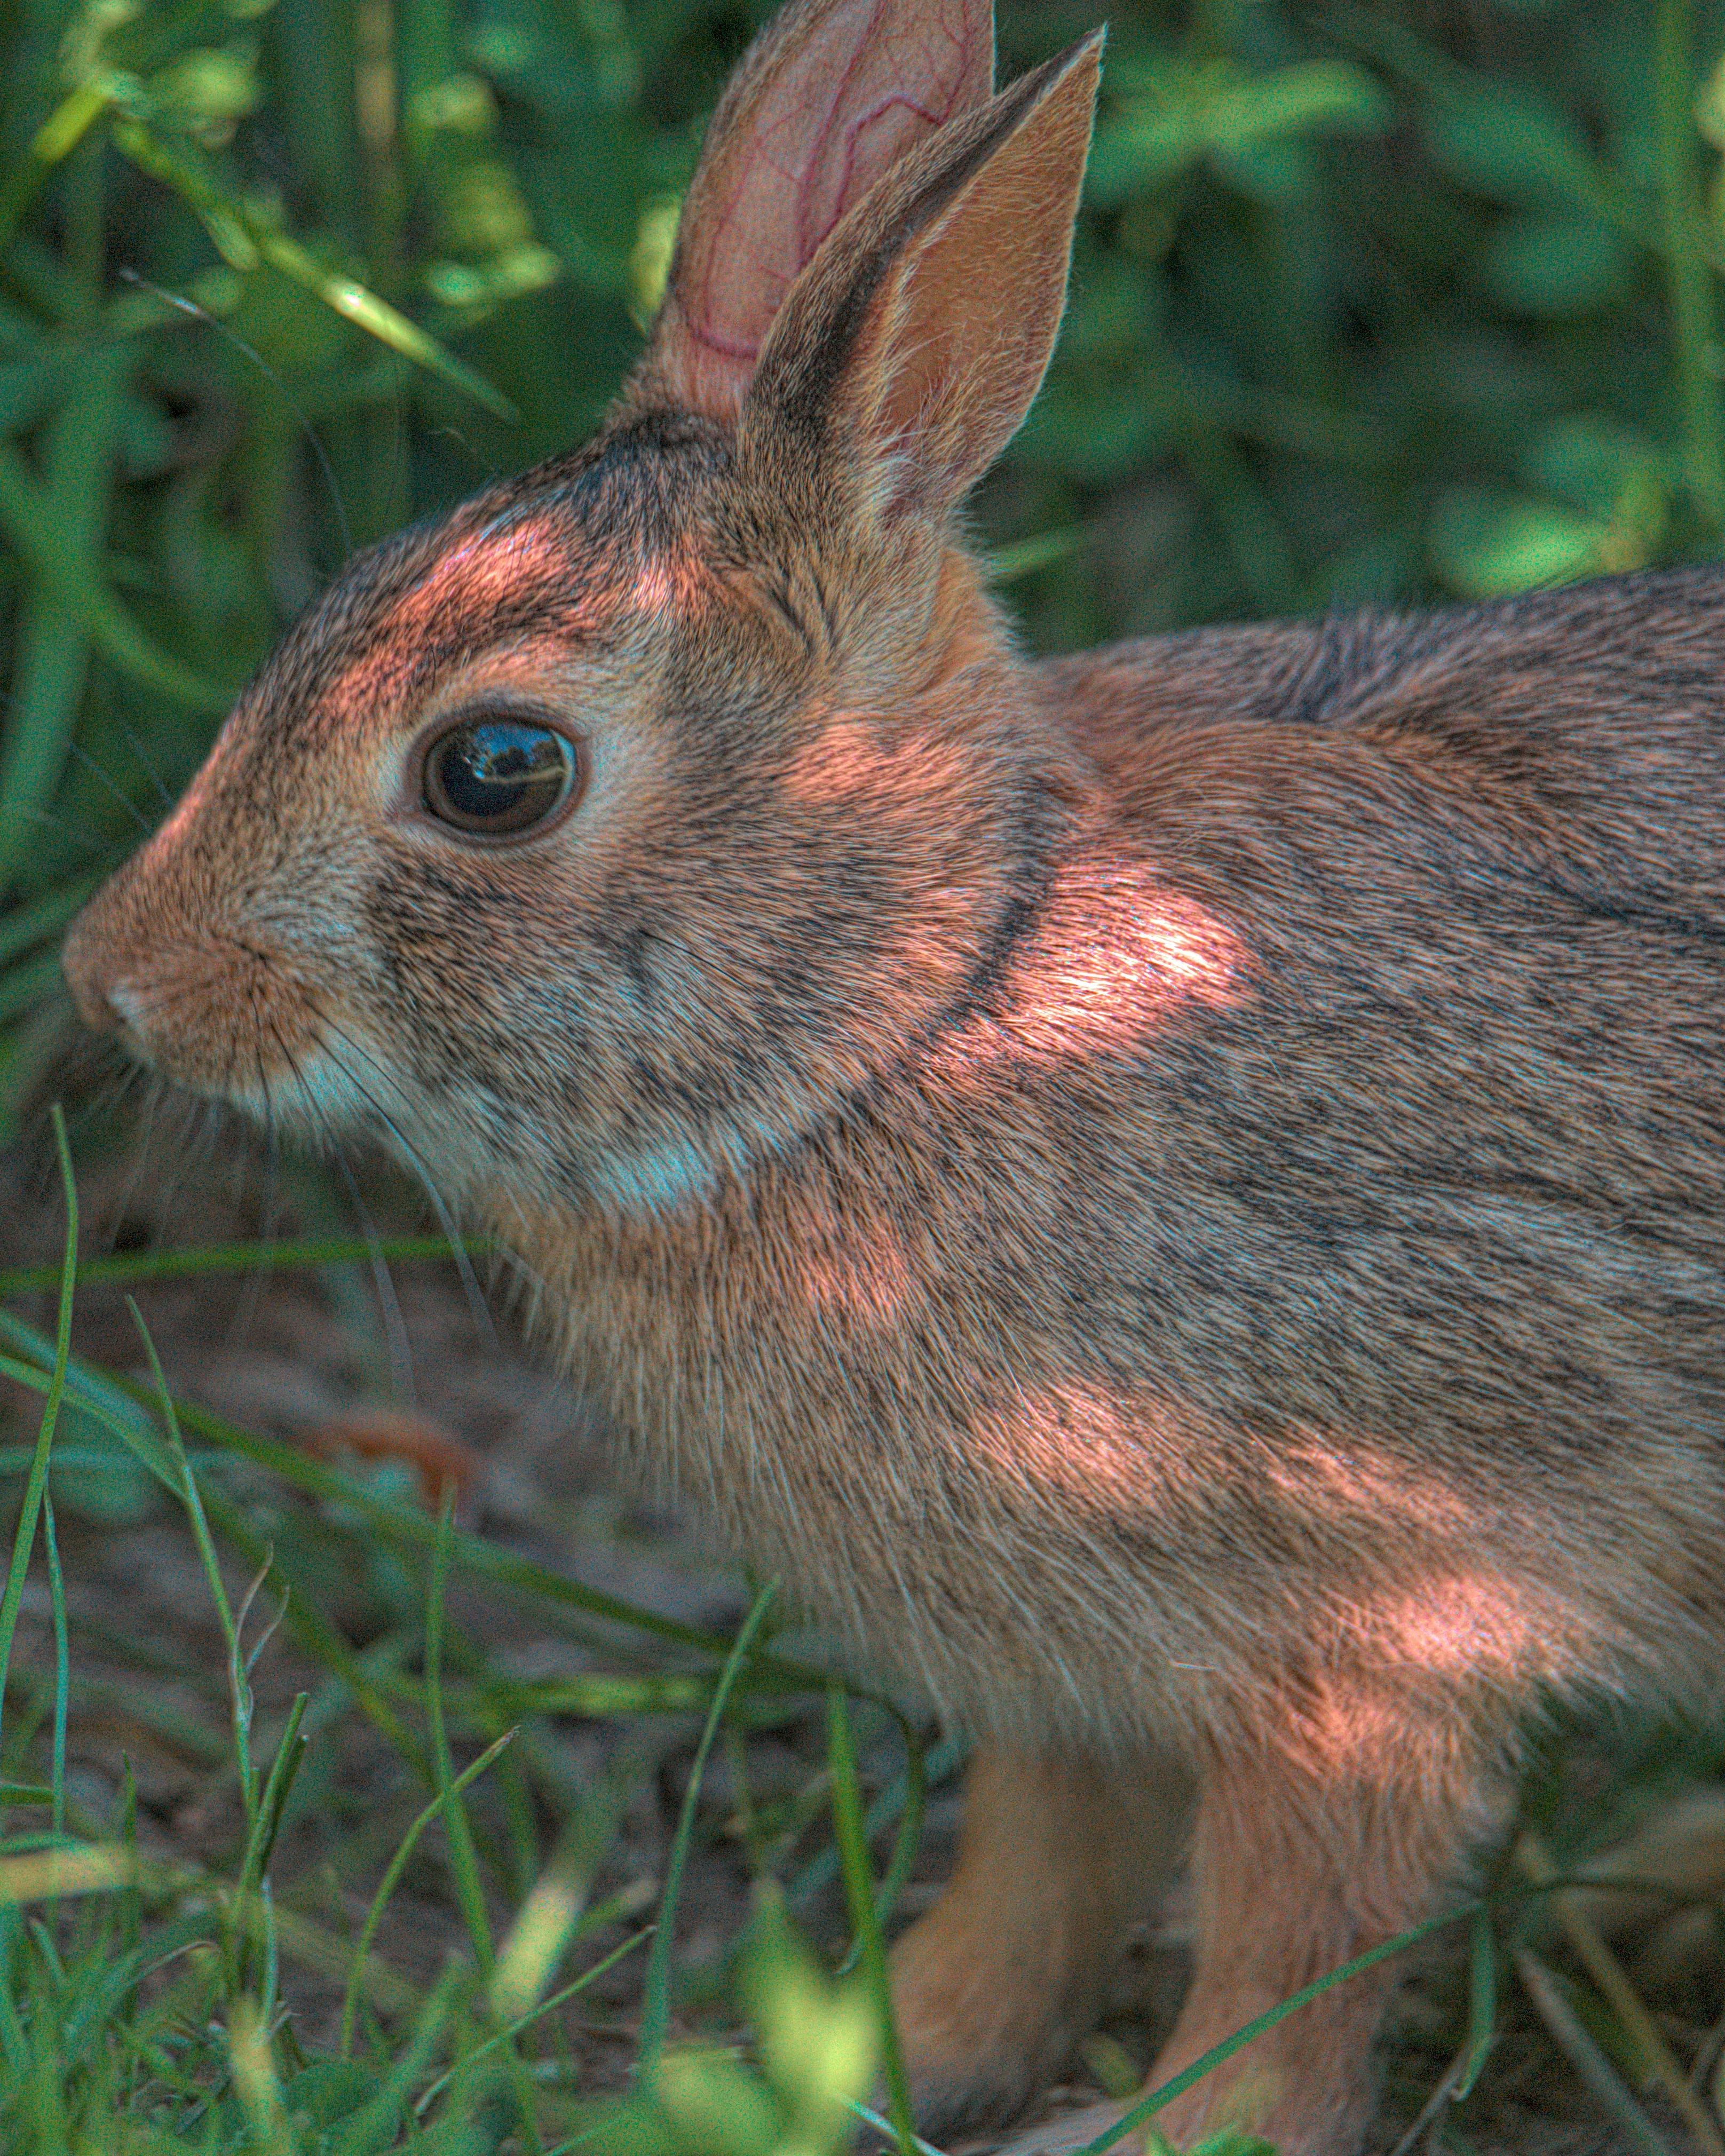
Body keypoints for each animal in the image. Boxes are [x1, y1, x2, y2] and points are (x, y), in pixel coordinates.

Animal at [56, 0, 1725, 2148]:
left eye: (494, 771)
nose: (117, 983)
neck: (929, 1000)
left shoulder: (1374, 1635)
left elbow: (1298, 1944)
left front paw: (1165, 2131)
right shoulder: (1066, 1672)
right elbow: (1031, 1877)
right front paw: (842, 2053)